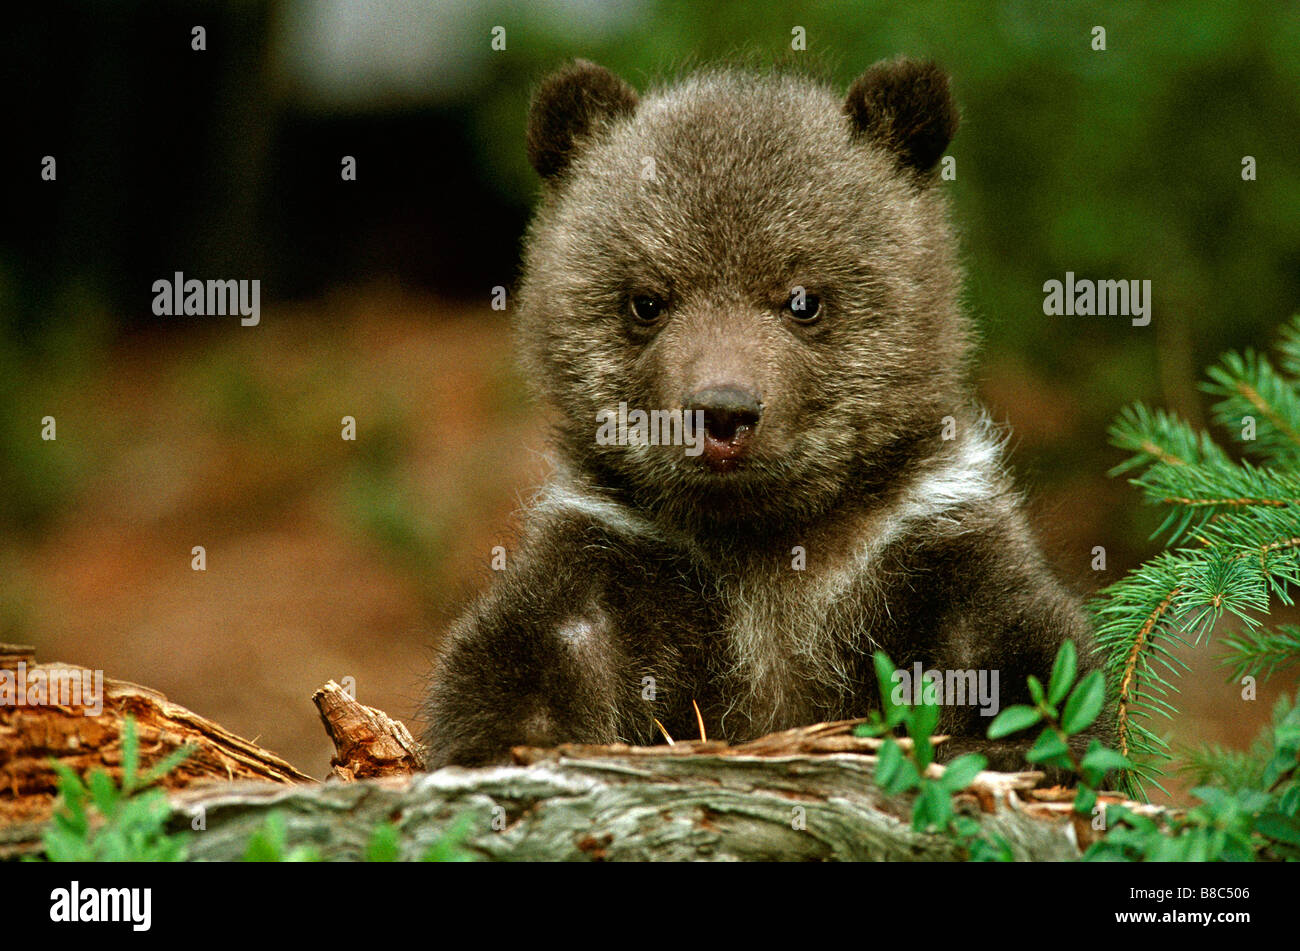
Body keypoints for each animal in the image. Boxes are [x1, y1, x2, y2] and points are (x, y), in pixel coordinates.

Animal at [420, 58, 1110, 775]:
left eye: (803, 298)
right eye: (647, 299)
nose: (723, 412)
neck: (764, 542)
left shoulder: (927, 535)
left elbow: (1015, 655)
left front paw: (1014, 744)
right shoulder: (615, 546)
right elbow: (530, 650)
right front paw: (503, 741)